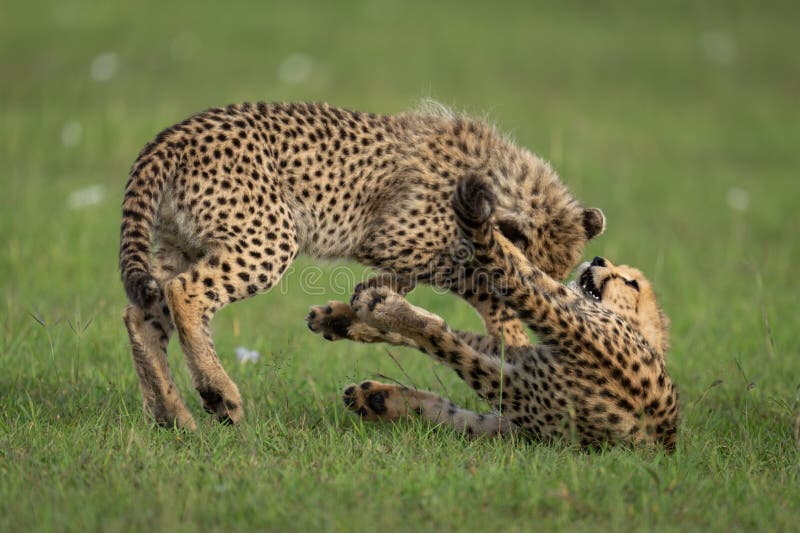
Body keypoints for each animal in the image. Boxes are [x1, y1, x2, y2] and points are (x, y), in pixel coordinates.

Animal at [119, 102, 606, 430]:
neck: (507, 181)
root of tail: (172, 135)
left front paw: (363, 303)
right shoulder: (401, 236)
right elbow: (479, 277)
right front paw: (517, 342)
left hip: (181, 243)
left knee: (141, 311)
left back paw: (171, 414)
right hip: (268, 239)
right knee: (183, 292)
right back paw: (218, 393)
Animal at [307, 176, 678, 449]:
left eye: (631, 282)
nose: (599, 260)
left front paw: (361, 314)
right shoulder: (522, 373)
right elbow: (485, 337)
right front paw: (342, 319)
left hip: (524, 387)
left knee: (451, 329)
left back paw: (383, 312)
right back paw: (375, 394)